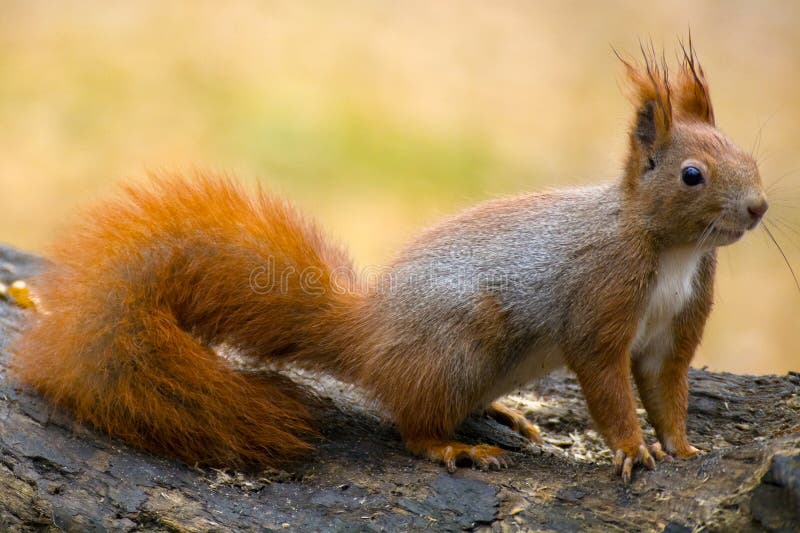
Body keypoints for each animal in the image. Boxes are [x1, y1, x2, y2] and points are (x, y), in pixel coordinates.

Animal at [10, 41, 768, 484]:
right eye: (693, 174)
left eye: (748, 154)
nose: (759, 207)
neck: (671, 250)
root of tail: (368, 337)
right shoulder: (598, 301)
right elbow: (607, 383)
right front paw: (632, 450)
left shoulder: (672, 331)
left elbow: (666, 387)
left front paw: (683, 448)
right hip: (459, 347)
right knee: (411, 425)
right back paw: (455, 446)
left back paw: (501, 416)